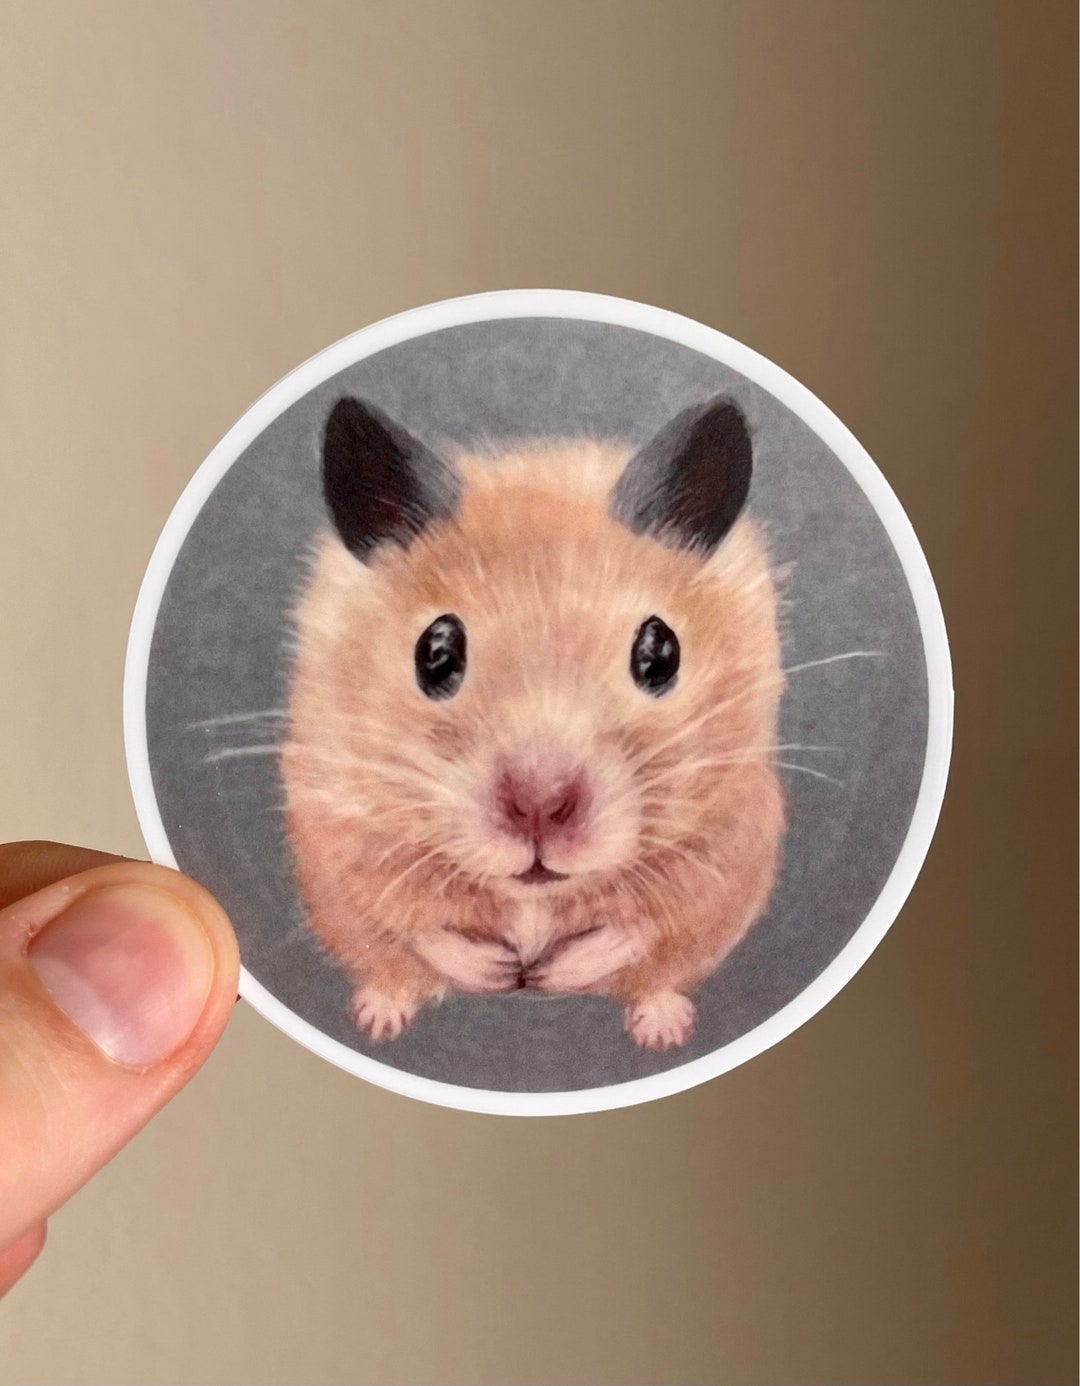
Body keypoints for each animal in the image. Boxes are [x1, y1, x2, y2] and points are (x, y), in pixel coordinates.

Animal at [282, 394, 785, 1049]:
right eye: (434, 652)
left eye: (661, 653)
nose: (539, 807)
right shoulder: (336, 826)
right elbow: (407, 917)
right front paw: (502, 971)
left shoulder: (731, 836)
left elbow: (650, 921)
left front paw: (548, 973)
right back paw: (380, 1021)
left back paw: (661, 1030)